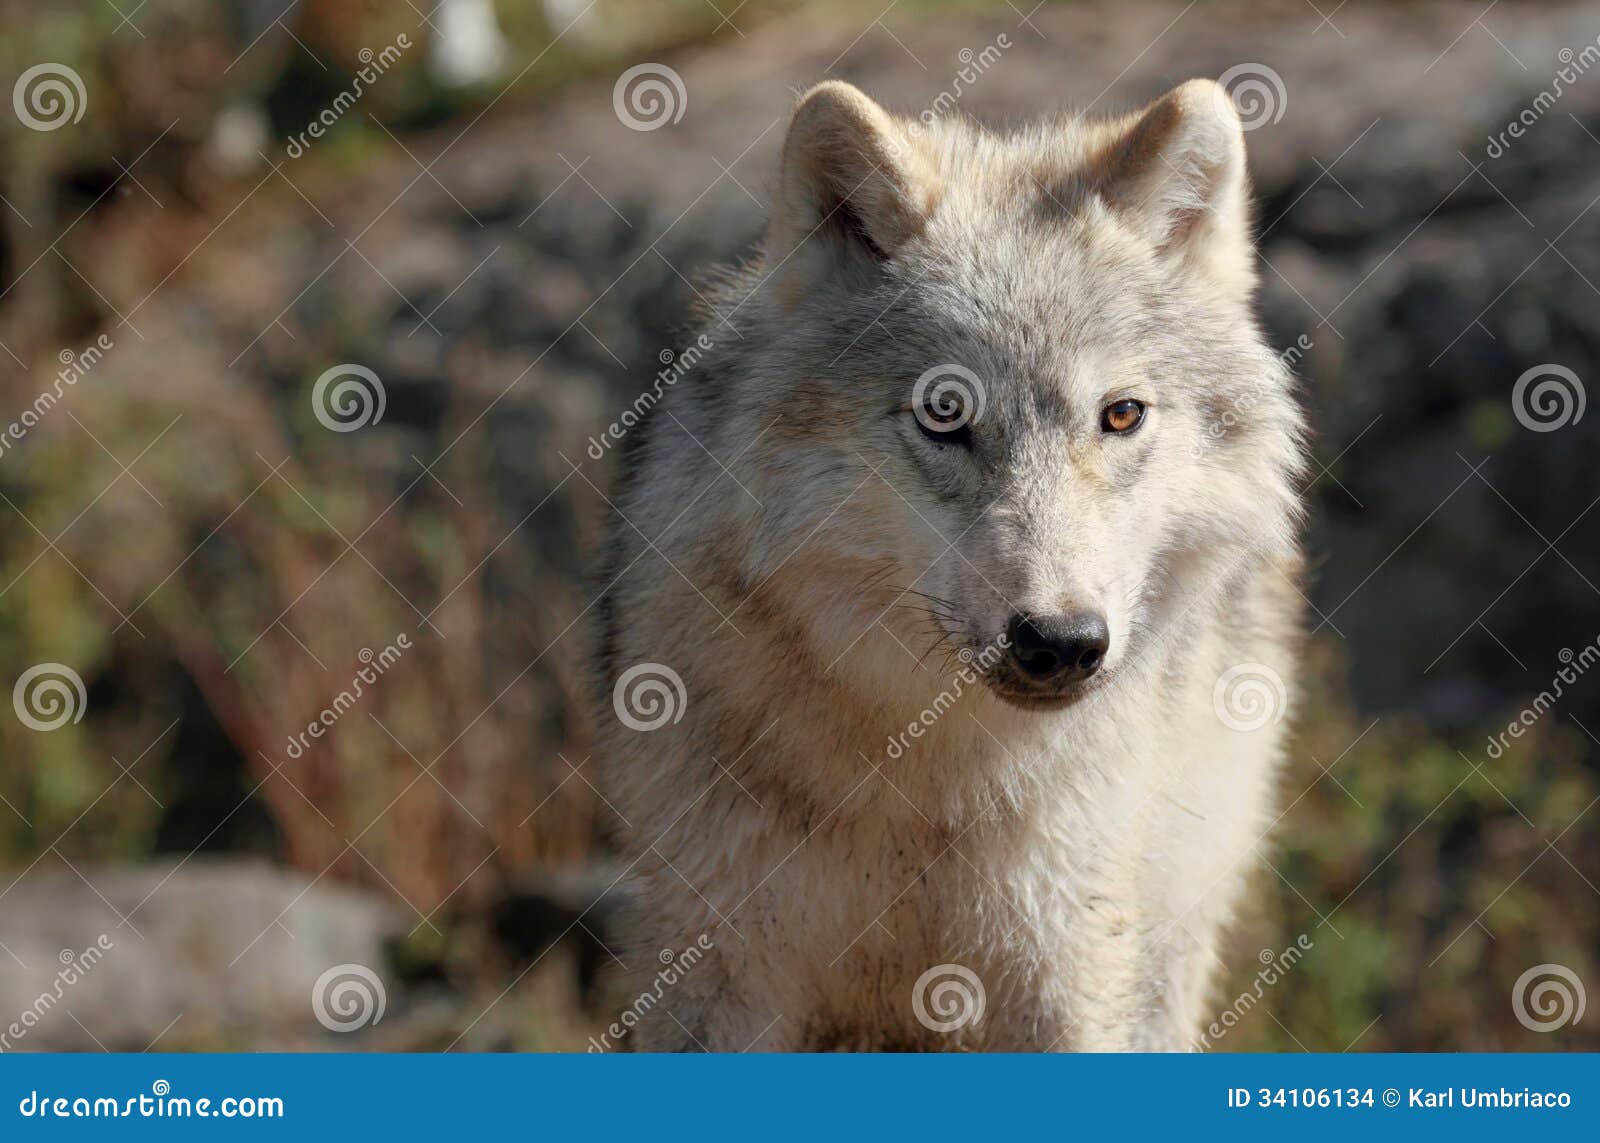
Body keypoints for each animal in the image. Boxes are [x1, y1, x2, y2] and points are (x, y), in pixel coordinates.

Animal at [592, 76, 1306, 1051]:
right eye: (944, 414)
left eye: (1121, 415)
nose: (1061, 641)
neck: (926, 780)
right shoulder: (716, 974)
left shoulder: (1066, 965)